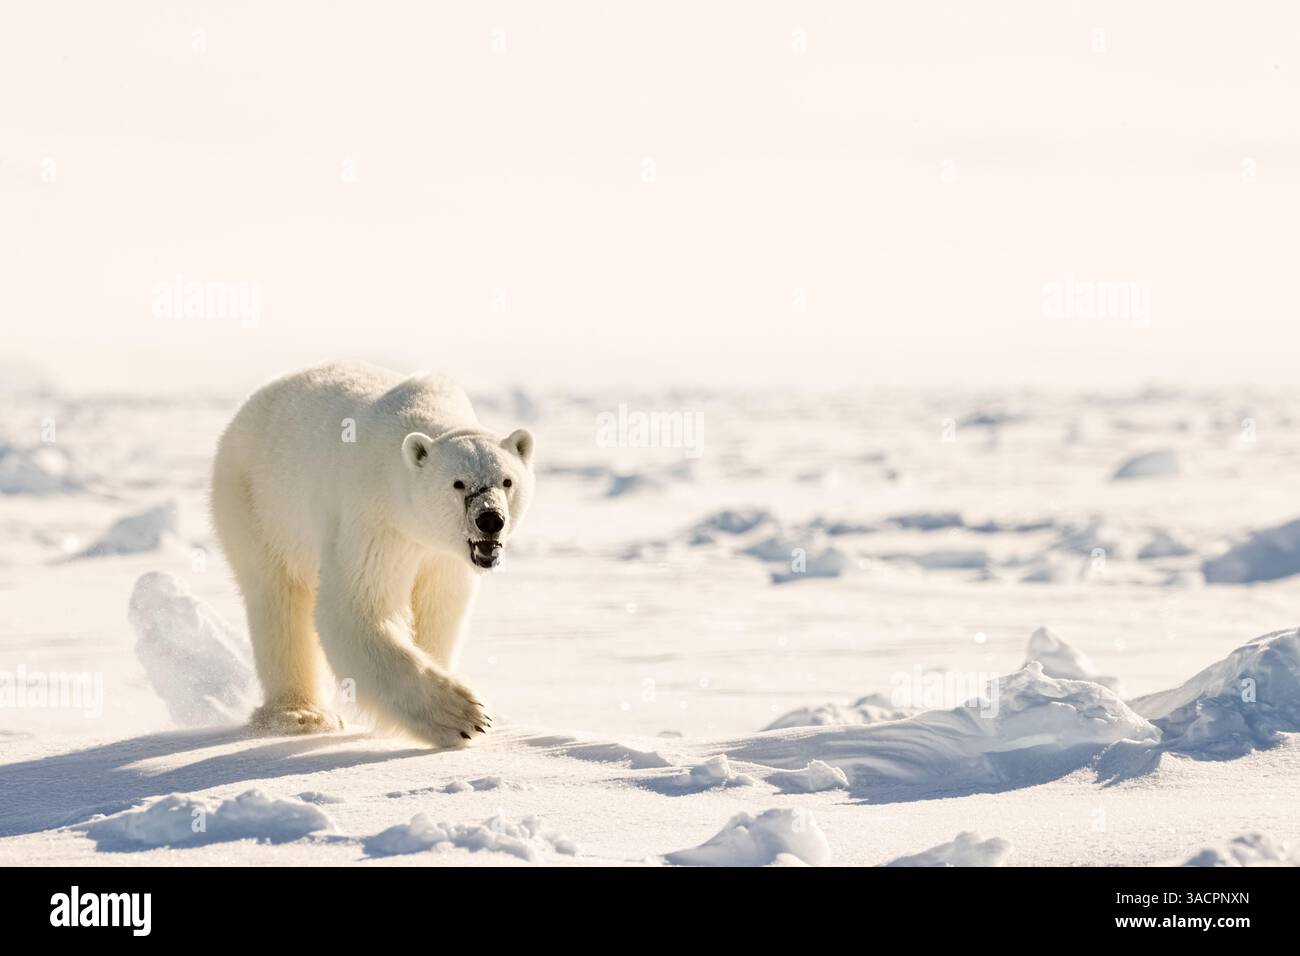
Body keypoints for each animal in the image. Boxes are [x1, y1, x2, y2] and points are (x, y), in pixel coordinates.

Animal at [210, 361, 535, 747]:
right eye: (458, 483)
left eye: (506, 481)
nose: (490, 520)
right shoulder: (376, 520)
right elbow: (357, 608)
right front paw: (463, 715)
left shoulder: (444, 556)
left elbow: (438, 608)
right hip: (259, 504)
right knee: (278, 599)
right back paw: (301, 715)